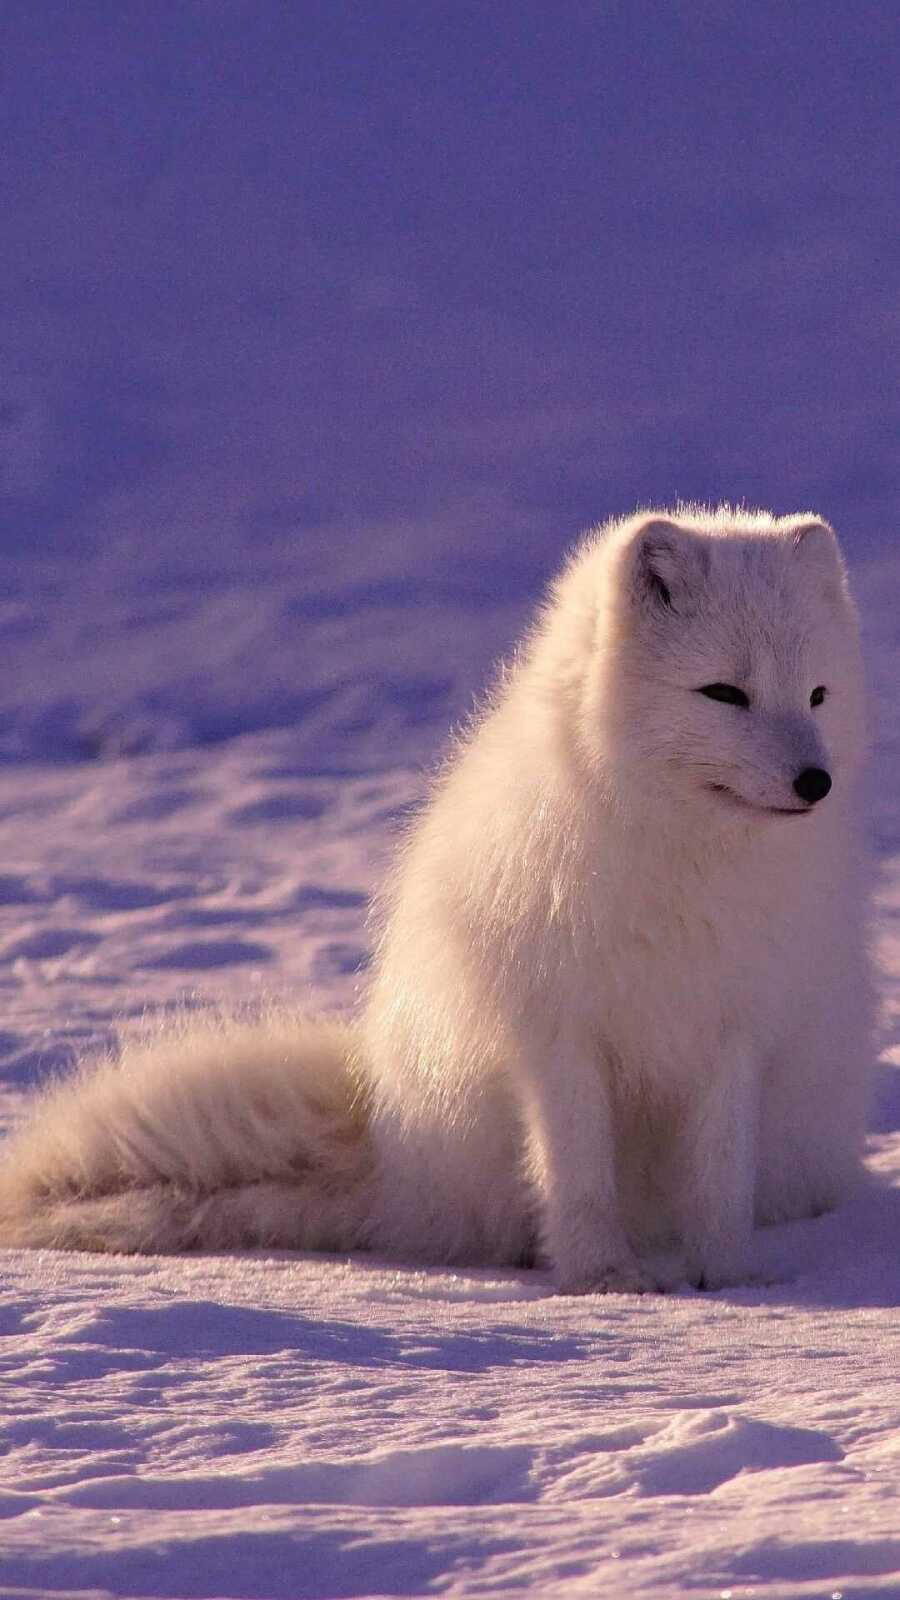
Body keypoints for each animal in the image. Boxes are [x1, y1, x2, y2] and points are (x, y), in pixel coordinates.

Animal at [0, 506, 873, 1292]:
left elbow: (720, 1179)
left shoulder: (733, 1031)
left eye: (817, 695)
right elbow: (578, 1175)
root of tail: (393, 1159)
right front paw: (604, 1280)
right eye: (724, 693)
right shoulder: (556, 1032)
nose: (816, 783)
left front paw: (730, 1281)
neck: (684, 864)